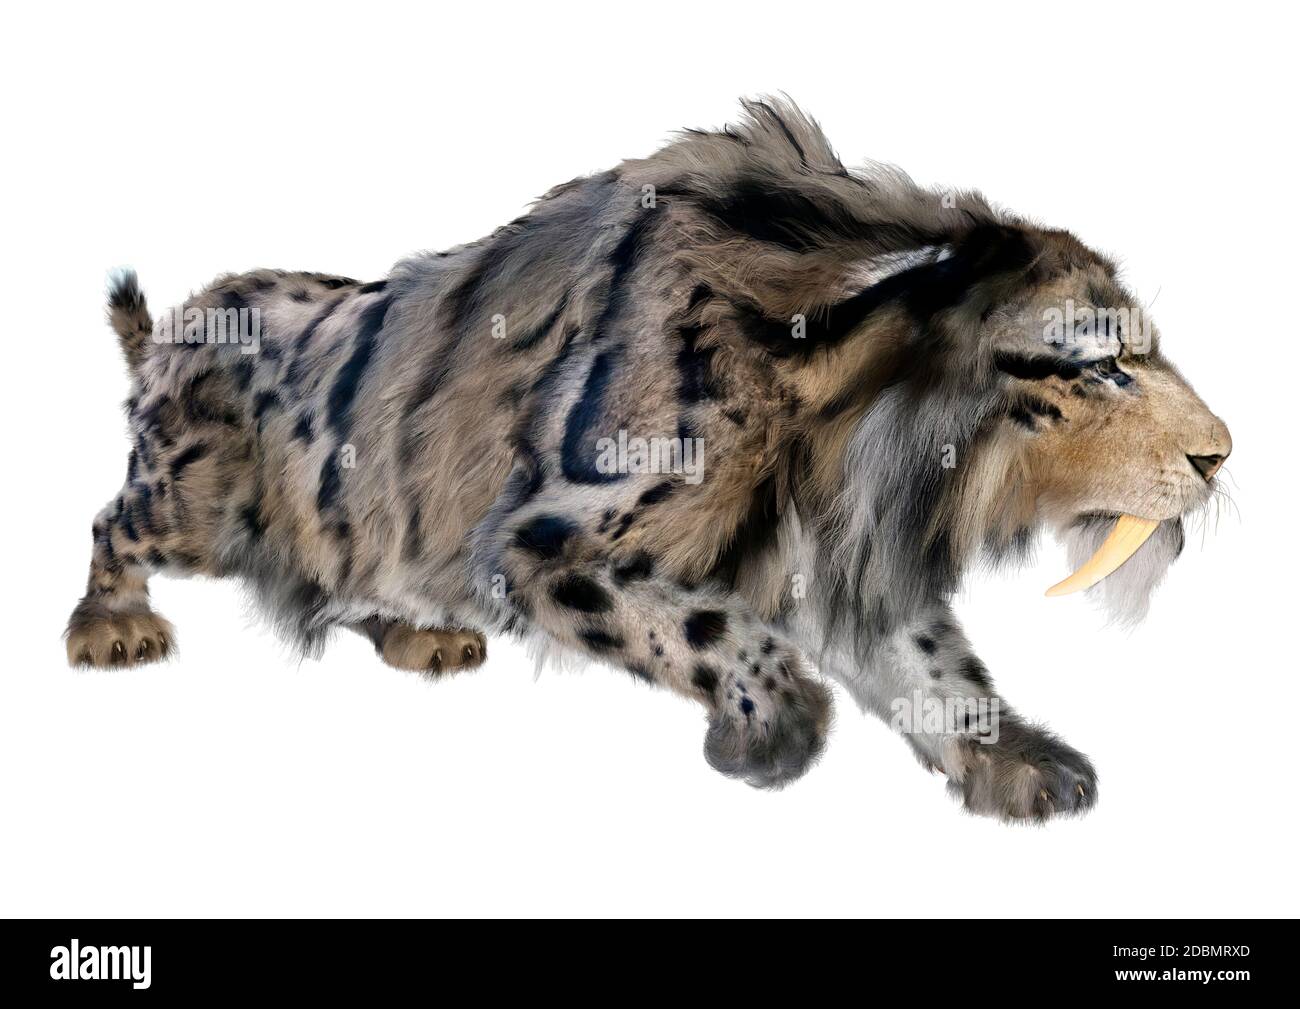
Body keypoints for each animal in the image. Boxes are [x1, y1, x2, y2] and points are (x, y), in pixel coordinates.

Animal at [65, 99, 1231, 821]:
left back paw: (416, 632)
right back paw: (109, 626)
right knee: (111, 518)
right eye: (1103, 368)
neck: (842, 418)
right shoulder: (543, 539)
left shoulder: (842, 558)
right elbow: (716, 631)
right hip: (197, 500)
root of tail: (178, 323)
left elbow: (938, 667)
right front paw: (766, 733)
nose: (1223, 455)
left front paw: (1015, 760)